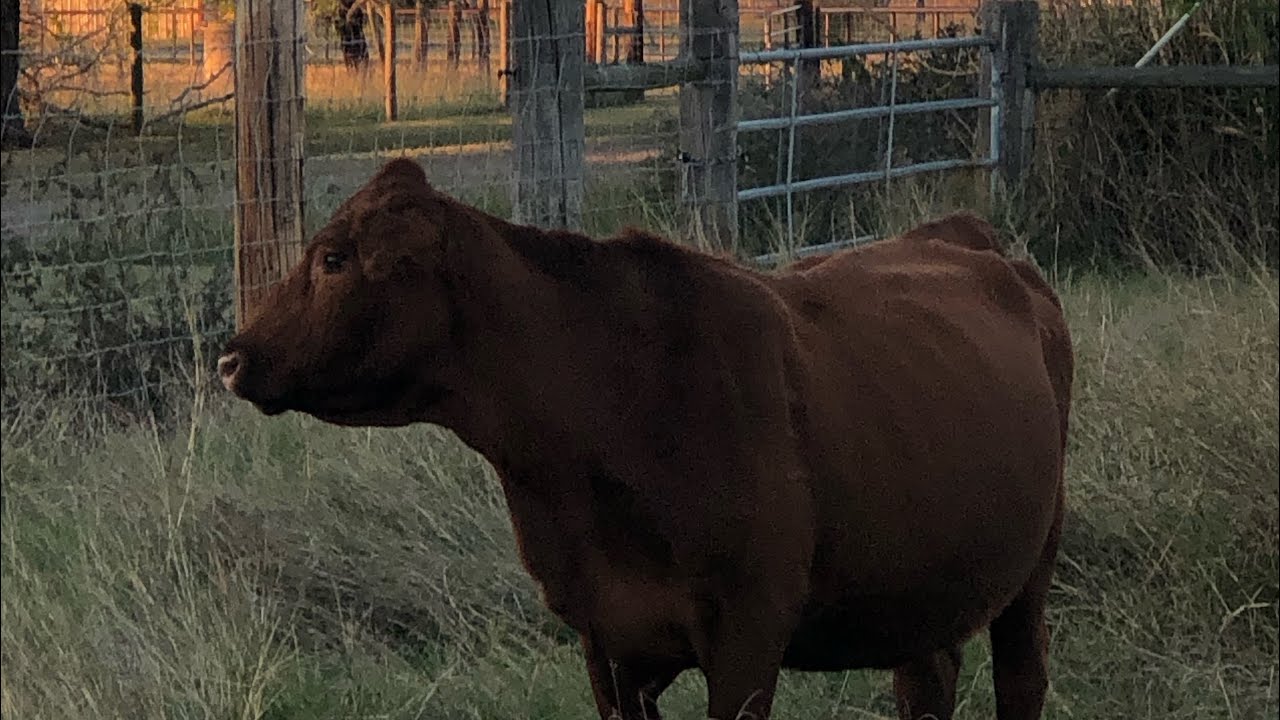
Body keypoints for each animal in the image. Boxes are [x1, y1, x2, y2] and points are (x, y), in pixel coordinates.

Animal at [218, 158, 1073, 720]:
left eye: (333, 258)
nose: (233, 357)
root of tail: (966, 236)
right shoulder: (605, 639)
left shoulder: (749, 630)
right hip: (923, 589)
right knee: (926, 680)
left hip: (1034, 565)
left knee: (1021, 678)